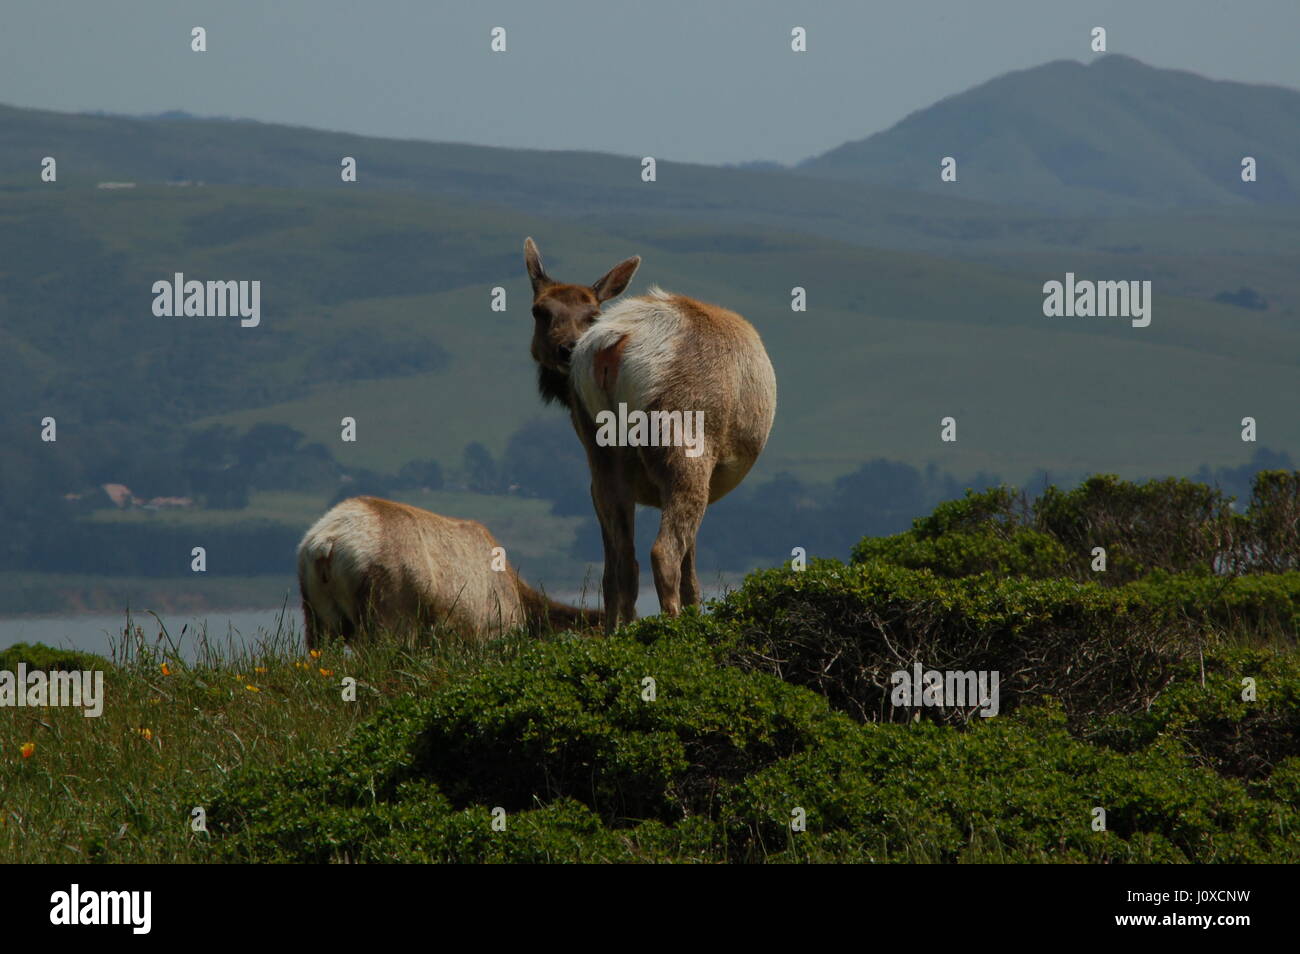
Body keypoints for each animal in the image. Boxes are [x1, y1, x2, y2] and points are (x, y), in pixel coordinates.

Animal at [524, 237, 777, 632]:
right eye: (540, 311)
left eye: (591, 311)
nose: (566, 349)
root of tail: (616, 341)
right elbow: (692, 573)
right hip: (682, 440)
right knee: (663, 552)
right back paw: (672, 627)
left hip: (602, 452)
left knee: (622, 561)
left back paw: (622, 631)